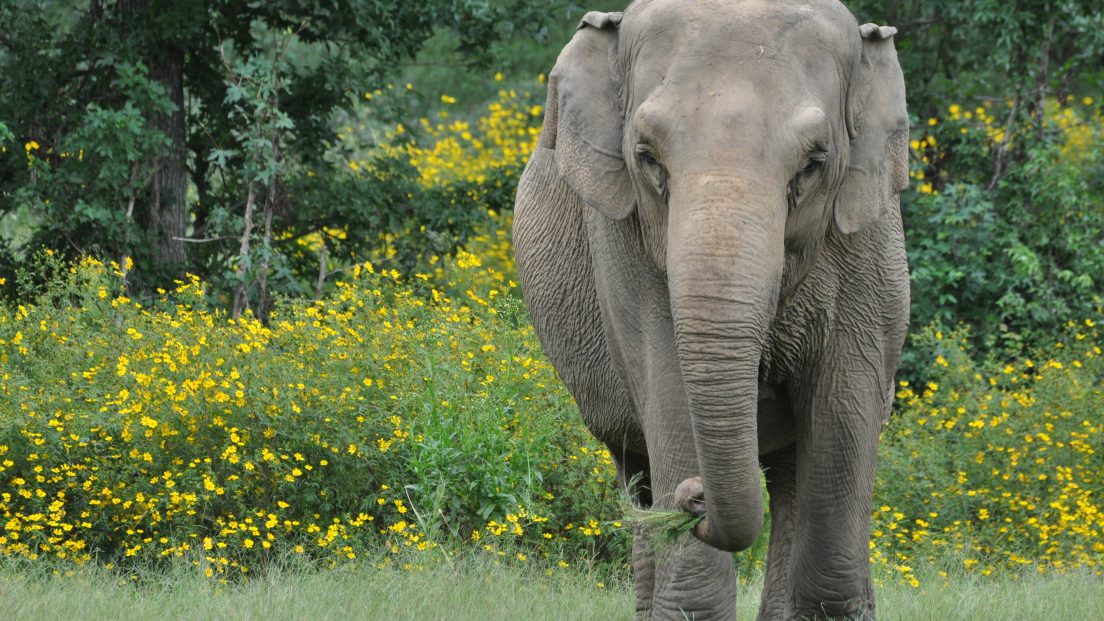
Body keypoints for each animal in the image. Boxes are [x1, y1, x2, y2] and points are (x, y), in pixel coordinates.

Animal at [512, 0, 909, 619]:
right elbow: (669, 389)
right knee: (637, 465)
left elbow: (846, 403)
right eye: (647, 159)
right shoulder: (623, 247)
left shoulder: (867, 243)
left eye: (814, 164)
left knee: (791, 476)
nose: (695, 498)